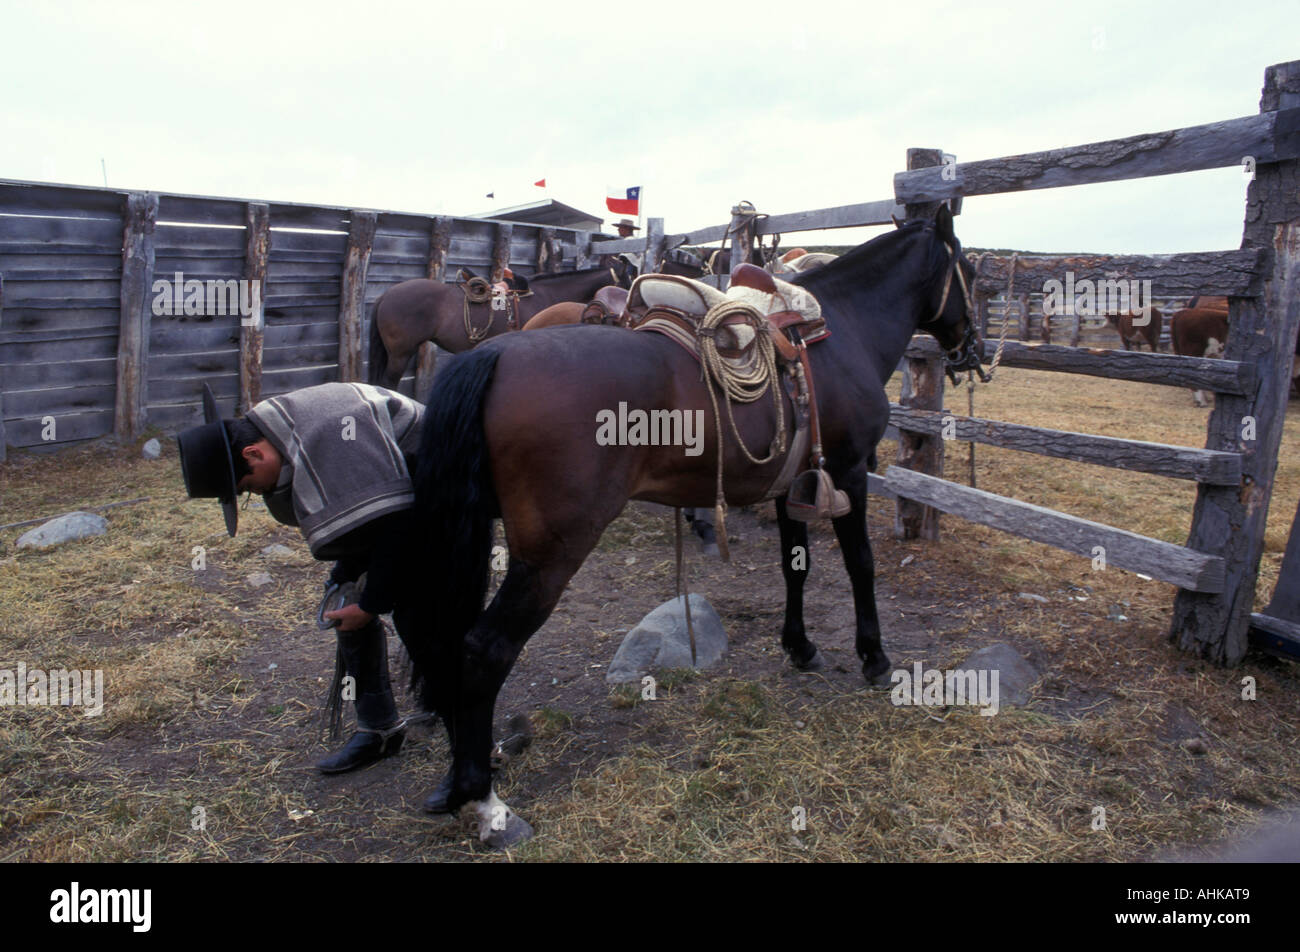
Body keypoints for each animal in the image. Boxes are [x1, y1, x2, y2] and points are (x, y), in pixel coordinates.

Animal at [397, 206, 983, 843]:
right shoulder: (848, 473)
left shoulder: (792, 487)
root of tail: (496, 356)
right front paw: (873, 658)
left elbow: (795, 570)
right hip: (549, 556)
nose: (973, 348)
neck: (839, 331)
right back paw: (483, 798)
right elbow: (861, 566)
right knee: (484, 649)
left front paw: (800, 647)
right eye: (973, 272)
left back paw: (456, 781)